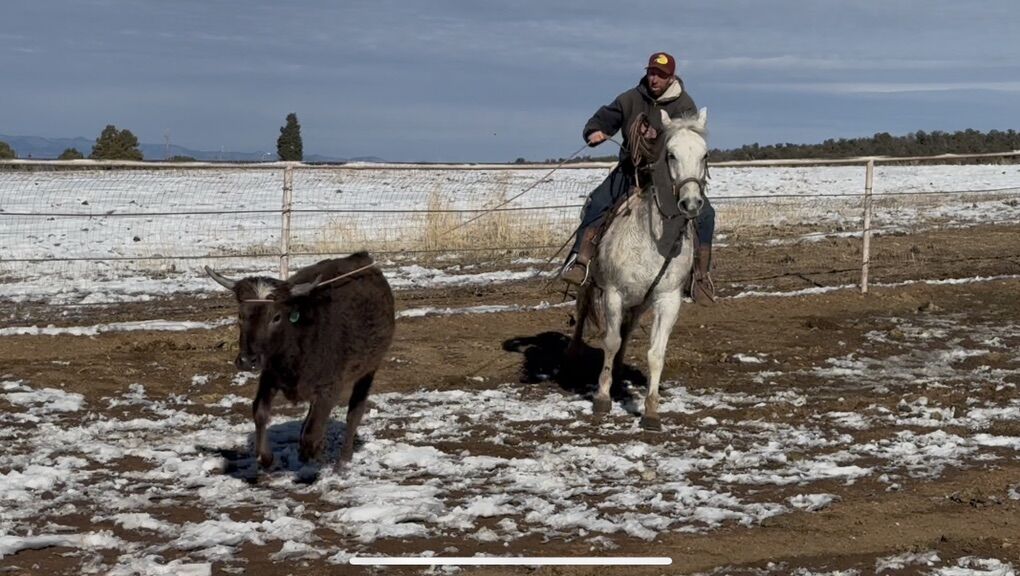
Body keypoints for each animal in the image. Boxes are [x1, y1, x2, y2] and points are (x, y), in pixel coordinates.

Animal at [568, 108, 709, 431]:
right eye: (671, 154)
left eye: (705, 154)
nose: (691, 203)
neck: (654, 238)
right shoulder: (613, 293)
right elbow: (610, 341)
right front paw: (602, 398)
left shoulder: (668, 299)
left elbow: (655, 353)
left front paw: (651, 412)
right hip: (591, 284)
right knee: (583, 312)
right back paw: (574, 355)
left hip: (641, 301)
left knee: (628, 328)